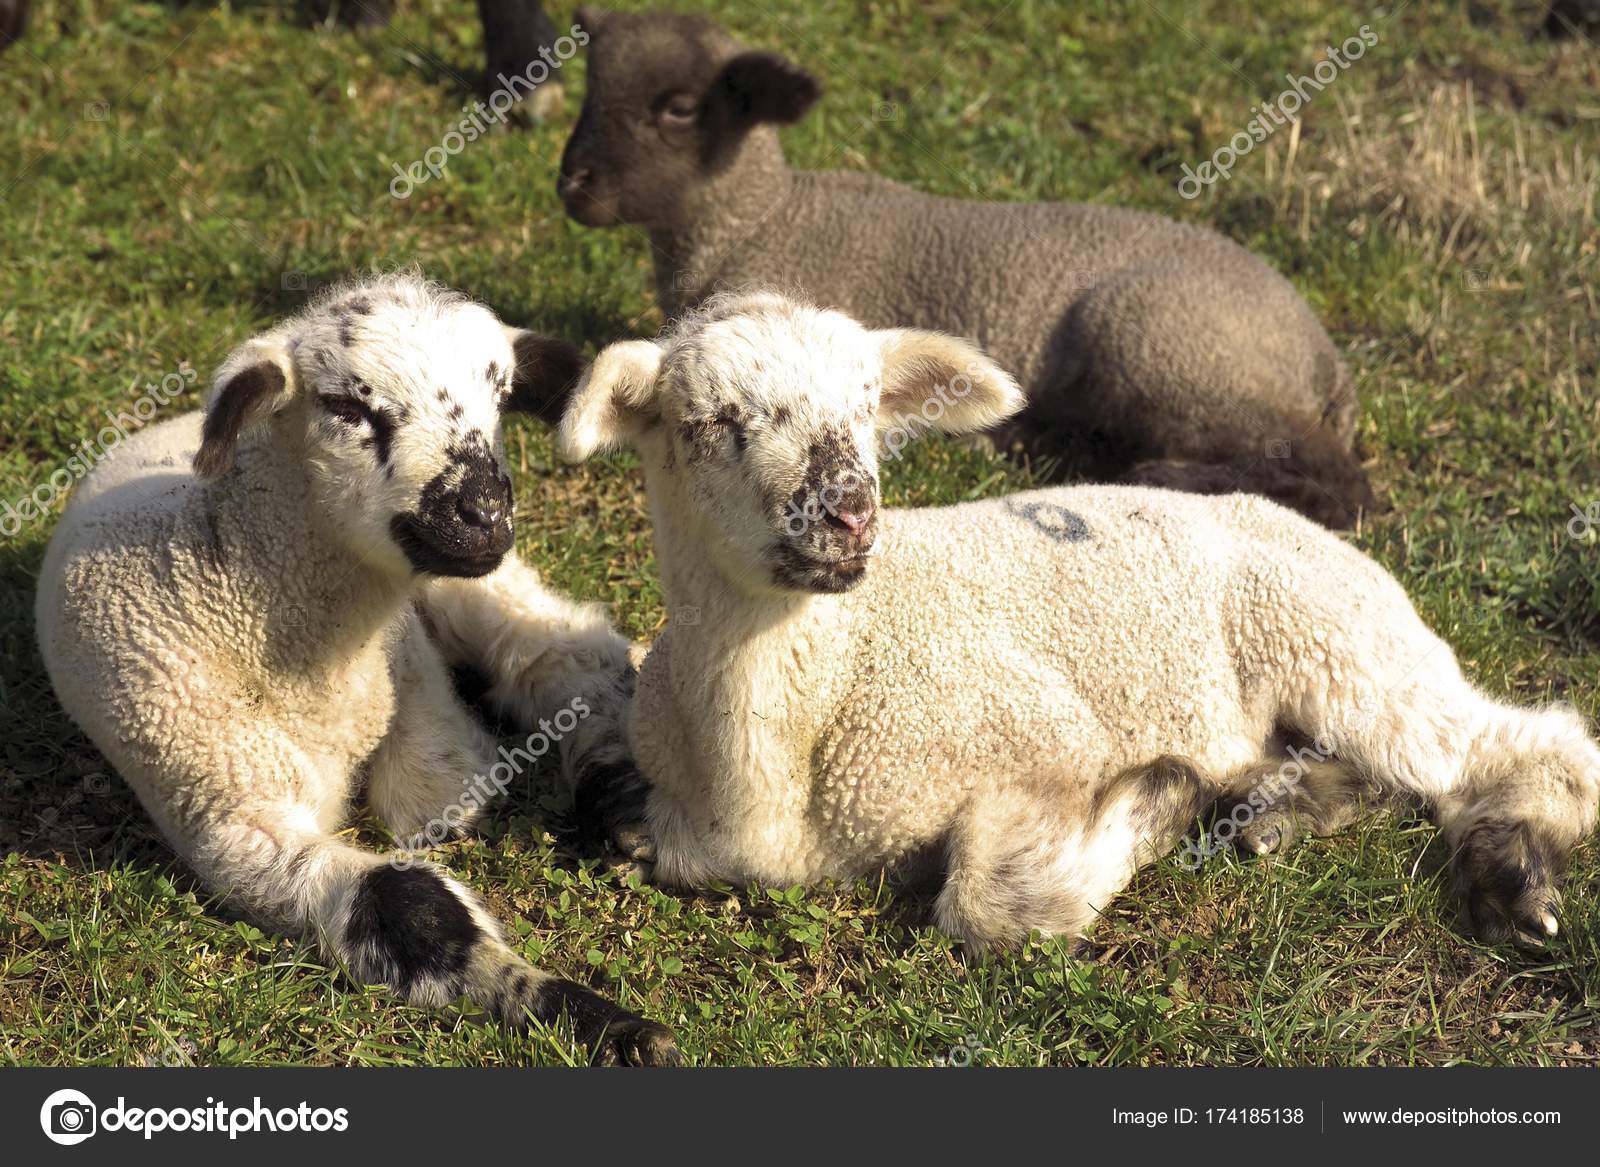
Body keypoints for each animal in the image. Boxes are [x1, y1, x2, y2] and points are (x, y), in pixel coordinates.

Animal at [35, 274, 677, 1065]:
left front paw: (617, 1026)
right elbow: (408, 907)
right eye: (346, 405)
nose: (483, 510)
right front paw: (598, 1018)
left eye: (500, 392)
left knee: (569, 655)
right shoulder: (227, 810)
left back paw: (624, 801)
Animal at [554, 8, 1373, 530]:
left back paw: (1147, 475)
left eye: (679, 108)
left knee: (1340, 483)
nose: (571, 184)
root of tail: (1325, 361)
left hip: (1168, 350)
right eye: (589, 93)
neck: (763, 220)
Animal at [559, 290, 1600, 951]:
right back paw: (1278, 811)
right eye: (710, 423)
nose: (850, 514)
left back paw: (1515, 882)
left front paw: (1156, 800)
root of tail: (1299, 523)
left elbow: (986, 904)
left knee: (1523, 747)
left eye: (867, 408)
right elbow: (618, 819)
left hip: (1336, 637)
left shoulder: (1041, 735)